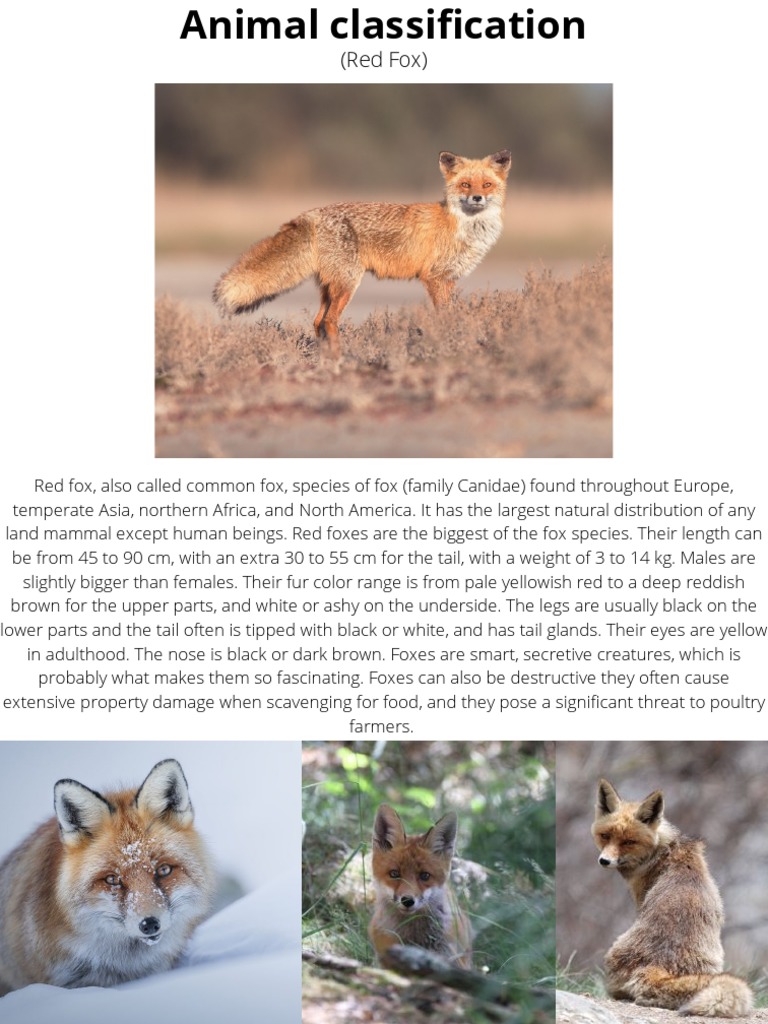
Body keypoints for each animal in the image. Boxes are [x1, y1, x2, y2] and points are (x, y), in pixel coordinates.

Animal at [214, 149, 512, 357]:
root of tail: (312, 213)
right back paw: (340, 359)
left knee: (317, 321)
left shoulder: (449, 279)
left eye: (486, 185)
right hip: (348, 283)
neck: (462, 227)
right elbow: (445, 316)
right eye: (465, 185)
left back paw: (326, 358)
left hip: (331, 287)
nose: (477, 198)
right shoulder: (435, 278)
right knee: (329, 321)